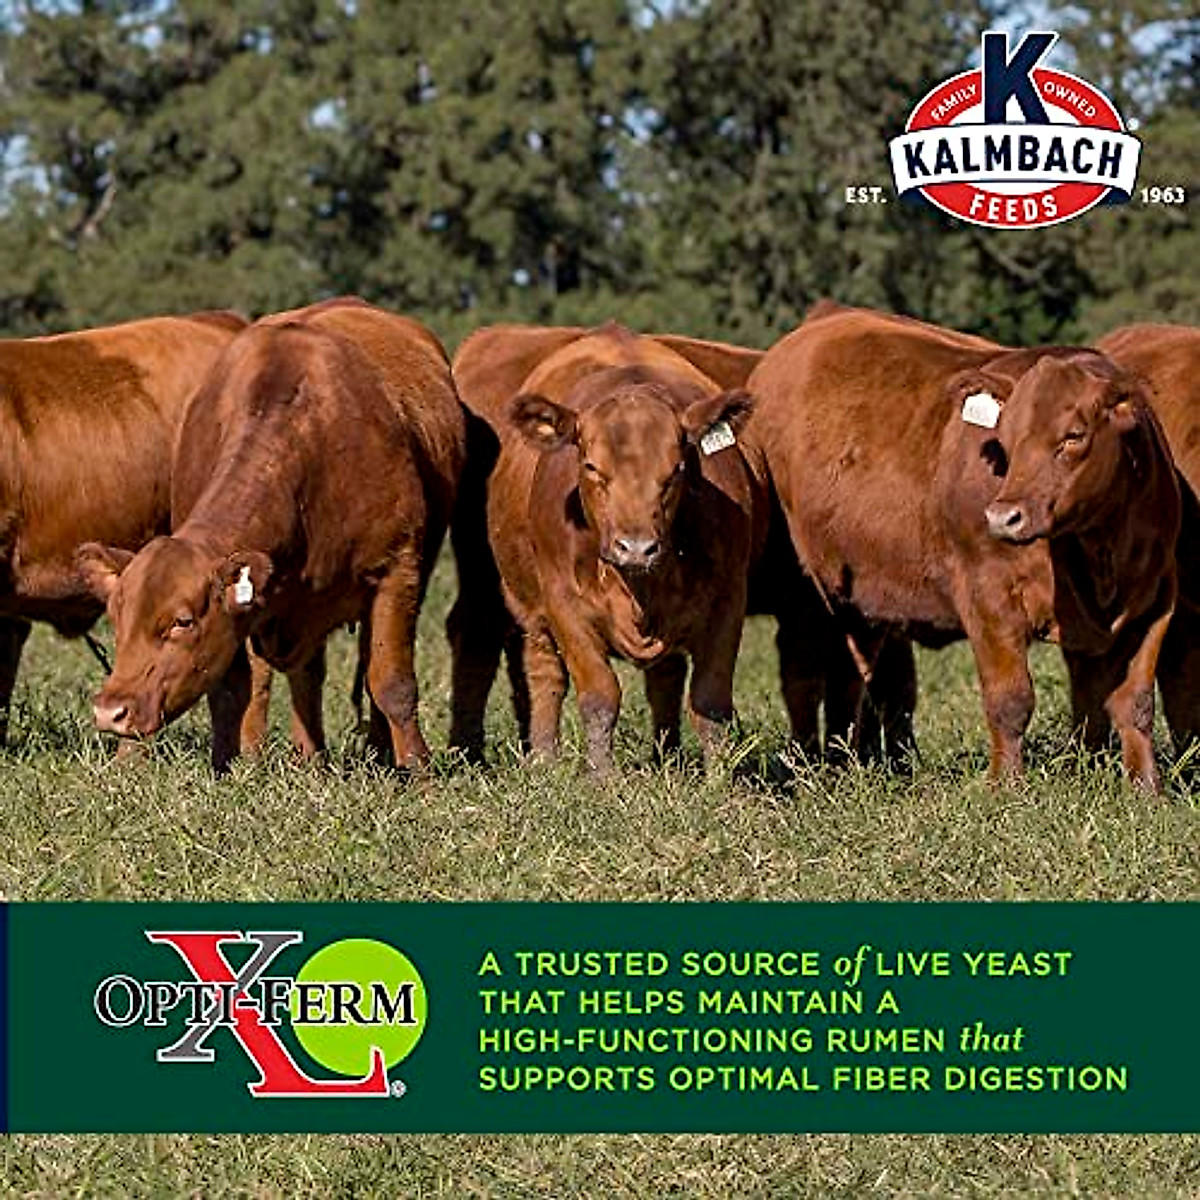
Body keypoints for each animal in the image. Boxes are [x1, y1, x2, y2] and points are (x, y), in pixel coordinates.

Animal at [76, 298, 465, 773]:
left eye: (182, 621)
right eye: (116, 617)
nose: (110, 711)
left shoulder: (397, 569)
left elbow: (392, 684)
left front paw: (418, 770)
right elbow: (233, 690)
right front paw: (229, 767)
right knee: (300, 677)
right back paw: (304, 757)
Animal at [450, 322, 768, 772]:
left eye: (676, 469)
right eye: (591, 467)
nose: (636, 548)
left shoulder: (728, 600)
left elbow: (709, 701)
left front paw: (719, 778)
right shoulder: (564, 605)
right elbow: (600, 695)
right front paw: (602, 777)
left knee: (665, 676)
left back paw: (667, 757)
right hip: (514, 598)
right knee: (542, 672)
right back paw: (544, 760)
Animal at [746, 304, 1180, 789]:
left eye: (1073, 435)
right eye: (1004, 444)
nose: (1004, 516)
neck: (1098, 550)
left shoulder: (1153, 601)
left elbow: (1134, 702)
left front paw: (1144, 786)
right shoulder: (987, 594)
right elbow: (1010, 700)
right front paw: (1006, 786)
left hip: (863, 600)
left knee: (857, 677)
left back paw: (858, 763)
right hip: (804, 592)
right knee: (804, 676)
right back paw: (812, 766)